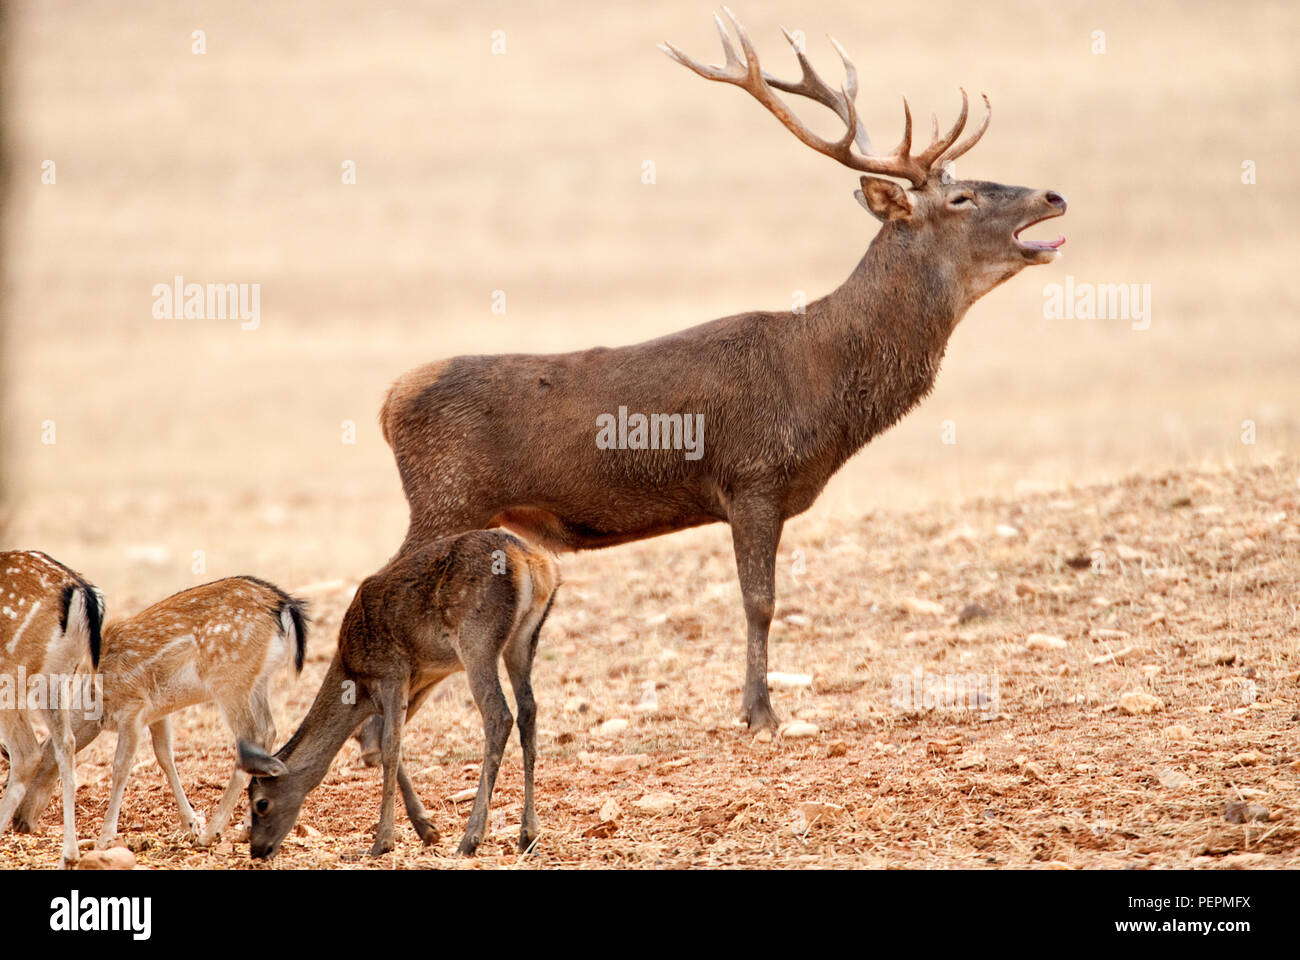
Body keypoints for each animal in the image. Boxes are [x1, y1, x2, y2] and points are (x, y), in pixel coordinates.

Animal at [0, 550, 103, 868]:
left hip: (11, 674)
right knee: (65, 744)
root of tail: (80, 589)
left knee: (27, 753)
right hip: (58, 677)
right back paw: (69, 856)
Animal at [14, 576, 308, 850]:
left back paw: (213, 832)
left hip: (229, 681)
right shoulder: (158, 712)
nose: (19, 823)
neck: (96, 702)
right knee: (269, 731)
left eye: (22, 776)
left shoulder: (132, 709)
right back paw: (245, 828)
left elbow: (120, 768)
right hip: (257, 681)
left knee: (253, 738)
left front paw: (105, 838)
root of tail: (284, 606)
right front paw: (190, 824)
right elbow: (165, 756)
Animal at [235, 529, 558, 861]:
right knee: (529, 711)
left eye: (261, 803)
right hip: (523, 638)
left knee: (499, 715)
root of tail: (529, 560)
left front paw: (382, 843)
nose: (257, 850)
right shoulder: (421, 680)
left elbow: (390, 747)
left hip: (476, 639)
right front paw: (428, 830)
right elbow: (382, 744)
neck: (356, 680)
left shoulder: (392, 672)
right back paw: (528, 835)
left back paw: (470, 838)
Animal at [369, 8, 1067, 737]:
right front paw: (760, 711)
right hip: (445, 497)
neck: (821, 385)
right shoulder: (752, 476)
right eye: (962, 197)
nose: (1053, 195)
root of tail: (387, 402)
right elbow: (760, 601)